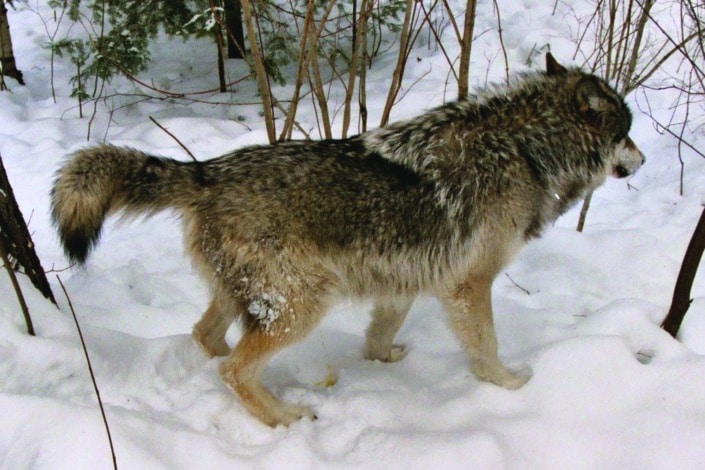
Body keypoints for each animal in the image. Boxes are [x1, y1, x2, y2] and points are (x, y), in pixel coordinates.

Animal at [51, 54, 644, 427]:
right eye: (627, 132)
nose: (642, 161)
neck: (526, 149)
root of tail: (205, 171)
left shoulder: (407, 278)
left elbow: (381, 334)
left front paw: (383, 363)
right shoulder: (469, 284)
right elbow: (487, 348)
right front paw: (512, 386)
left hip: (253, 298)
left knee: (209, 340)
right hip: (305, 302)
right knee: (233, 368)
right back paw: (284, 417)